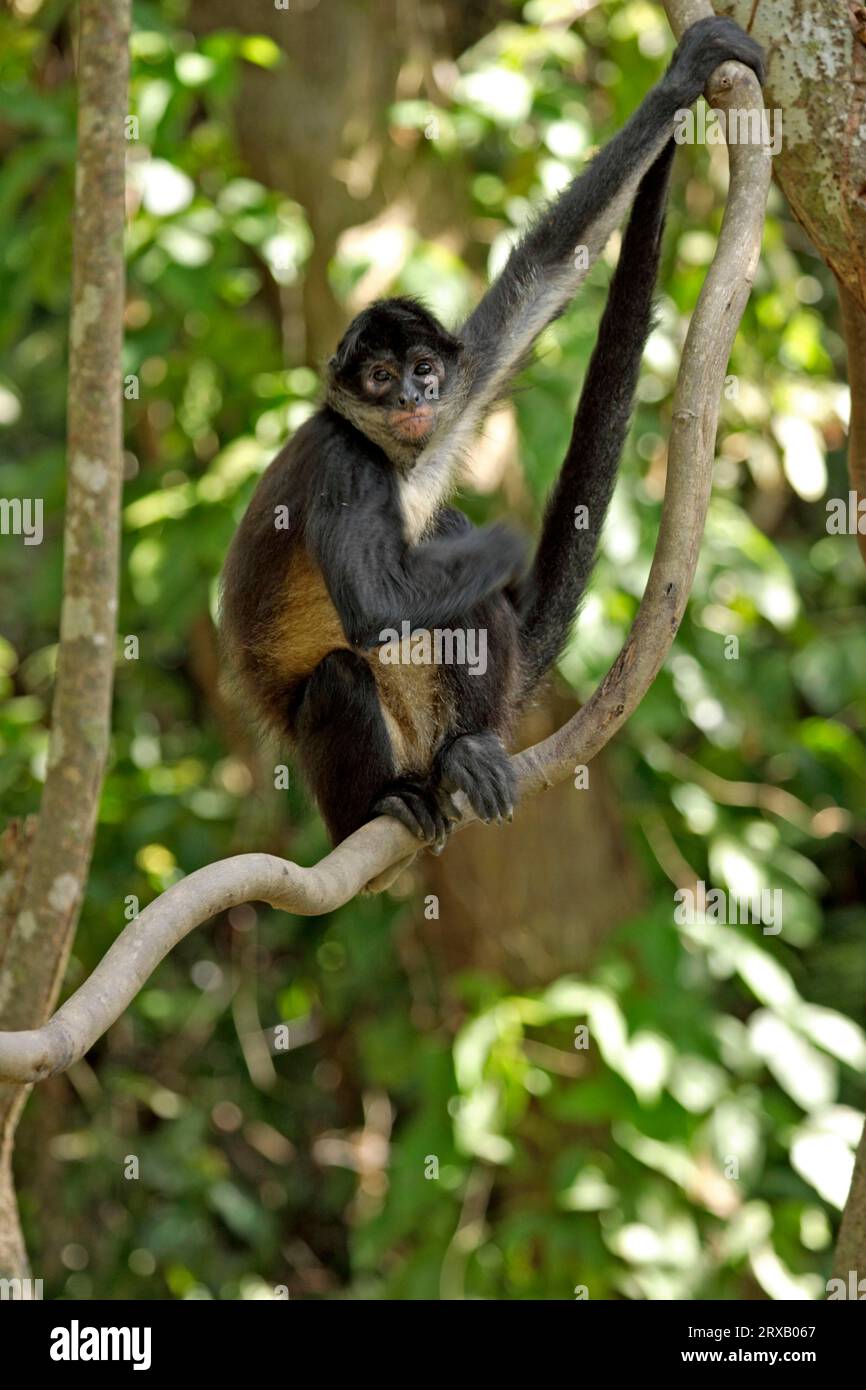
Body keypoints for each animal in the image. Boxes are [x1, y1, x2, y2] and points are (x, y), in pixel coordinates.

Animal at [220, 17, 764, 867]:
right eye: (378, 377)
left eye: (420, 370)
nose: (413, 397)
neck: (392, 460)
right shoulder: (345, 464)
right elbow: (376, 606)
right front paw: (502, 545)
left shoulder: (456, 394)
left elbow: (548, 268)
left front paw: (682, 77)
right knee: (344, 671)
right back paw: (388, 800)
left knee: (460, 597)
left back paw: (463, 754)